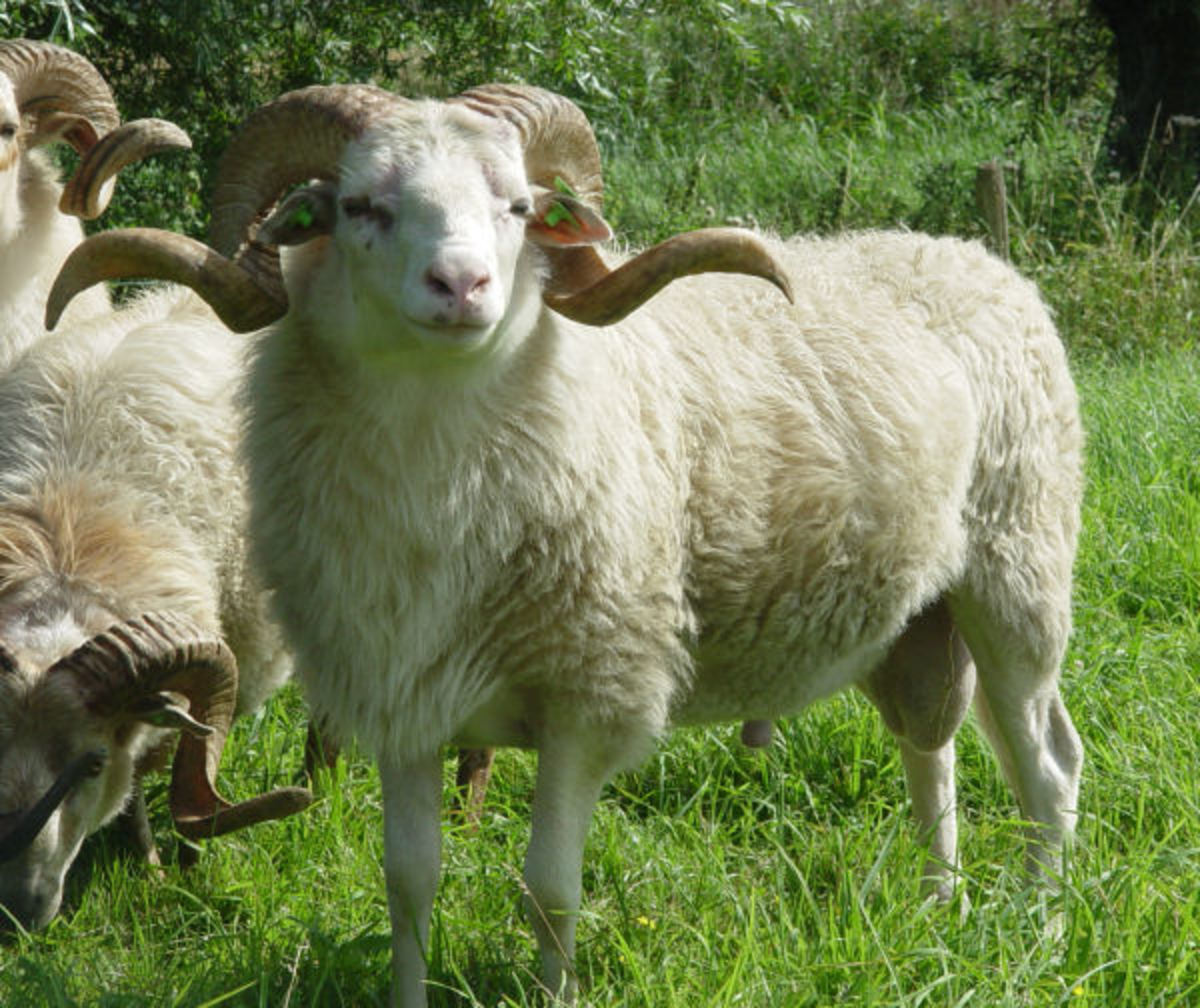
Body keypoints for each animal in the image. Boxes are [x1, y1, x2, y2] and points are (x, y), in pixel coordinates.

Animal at [47, 83, 1084, 1007]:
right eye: (358, 206)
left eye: (518, 207)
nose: (462, 285)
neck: (440, 476)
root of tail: (971, 255)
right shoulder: (403, 698)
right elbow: (407, 883)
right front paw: (410, 994)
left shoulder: (589, 695)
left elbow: (549, 893)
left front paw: (553, 992)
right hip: (916, 617)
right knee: (930, 751)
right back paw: (940, 907)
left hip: (1017, 578)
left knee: (1047, 768)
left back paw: (1037, 924)